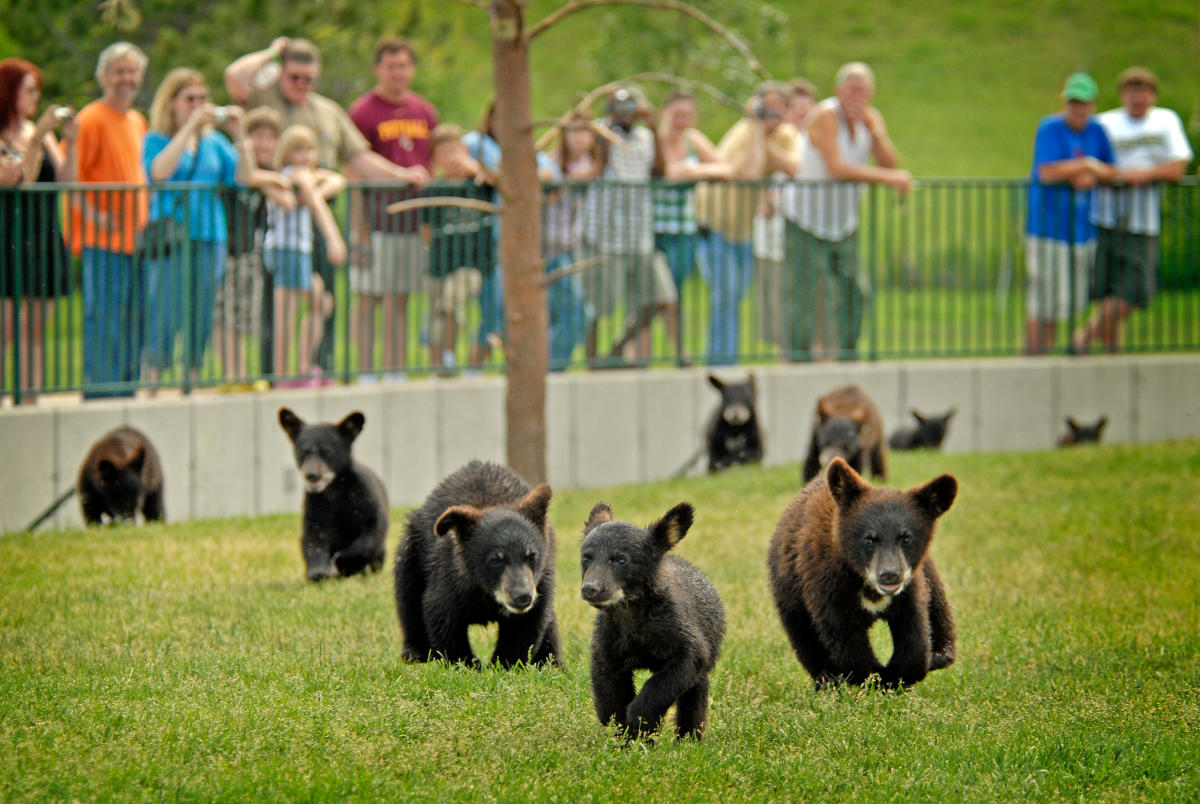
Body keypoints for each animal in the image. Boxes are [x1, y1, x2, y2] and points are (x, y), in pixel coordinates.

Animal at [278, 408, 388, 582]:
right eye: (302, 452)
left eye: (327, 452)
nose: (311, 475)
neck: (334, 489)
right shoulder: (315, 503)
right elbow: (314, 538)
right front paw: (318, 572)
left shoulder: (364, 494)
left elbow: (373, 528)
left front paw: (339, 560)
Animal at [394, 460, 561, 668]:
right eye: (495, 559)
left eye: (532, 555)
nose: (522, 596)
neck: (485, 592)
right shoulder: (449, 576)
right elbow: (443, 619)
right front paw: (468, 664)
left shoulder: (541, 583)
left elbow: (526, 627)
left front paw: (503, 664)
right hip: (411, 554)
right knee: (408, 602)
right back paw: (415, 652)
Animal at [581, 501, 725, 741]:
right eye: (586, 557)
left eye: (622, 560)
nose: (591, 588)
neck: (631, 611)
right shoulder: (608, 640)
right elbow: (609, 692)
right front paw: (624, 736)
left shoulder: (679, 629)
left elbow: (679, 669)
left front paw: (640, 721)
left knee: (695, 697)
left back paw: (688, 740)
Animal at [768, 457, 957, 690]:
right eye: (869, 538)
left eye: (906, 537)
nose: (889, 575)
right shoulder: (826, 587)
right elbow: (846, 638)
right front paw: (875, 677)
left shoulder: (910, 588)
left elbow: (914, 632)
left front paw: (896, 675)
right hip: (789, 588)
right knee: (802, 634)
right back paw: (827, 678)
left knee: (938, 600)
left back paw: (941, 653)